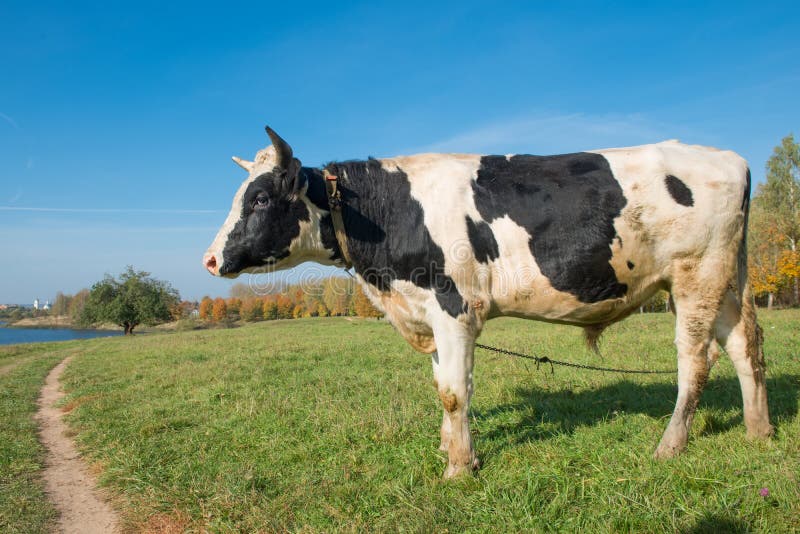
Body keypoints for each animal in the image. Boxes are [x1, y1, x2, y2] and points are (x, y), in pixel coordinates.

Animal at [204, 126, 773, 478]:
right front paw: (449, 448)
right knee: (745, 348)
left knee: (696, 362)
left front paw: (459, 467)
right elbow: (442, 384)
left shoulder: (454, 306)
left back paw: (670, 445)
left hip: (695, 277)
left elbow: (455, 392)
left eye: (259, 198)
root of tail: (730, 157)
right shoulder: (427, 311)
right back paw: (758, 430)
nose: (209, 260)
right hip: (724, 282)